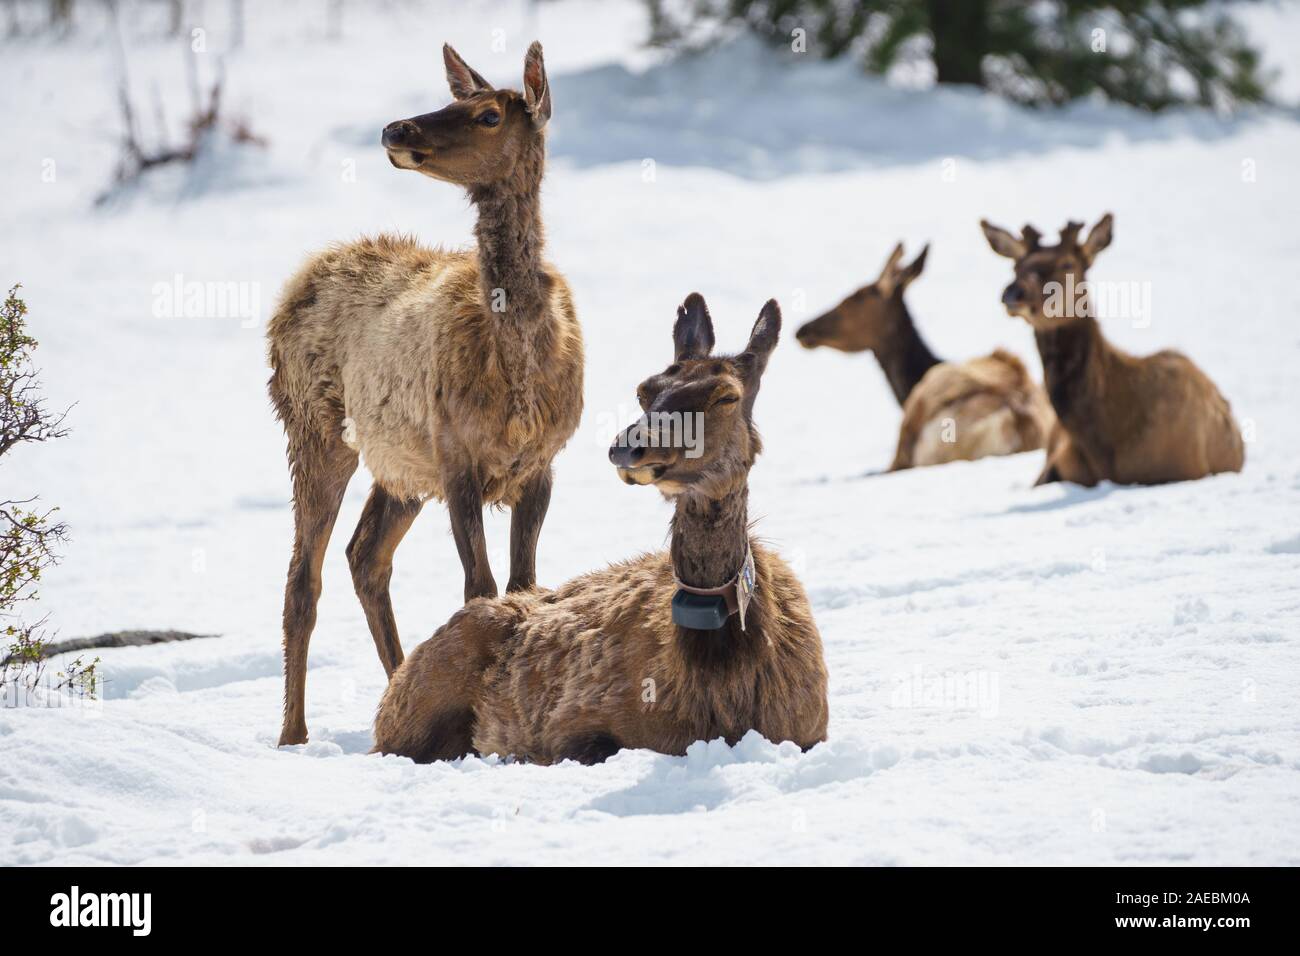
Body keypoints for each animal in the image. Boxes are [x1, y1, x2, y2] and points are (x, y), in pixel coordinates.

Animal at [266, 42, 583, 747]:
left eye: (490, 114)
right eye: (452, 99)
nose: (396, 129)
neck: (518, 364)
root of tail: (298, 279)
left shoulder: (541, 464)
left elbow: (522, 581)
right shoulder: (458, 458)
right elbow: (479, 585)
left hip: (401, 466)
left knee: (364, 556)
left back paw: (396, 687)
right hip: (315, 430)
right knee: (303, 577)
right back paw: (293, 733)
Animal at [372, 295, 829, 765]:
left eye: (726, 396)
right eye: (645, 390)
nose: (630, 445)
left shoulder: (810, 728)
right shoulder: (575, 723)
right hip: (416, 705)